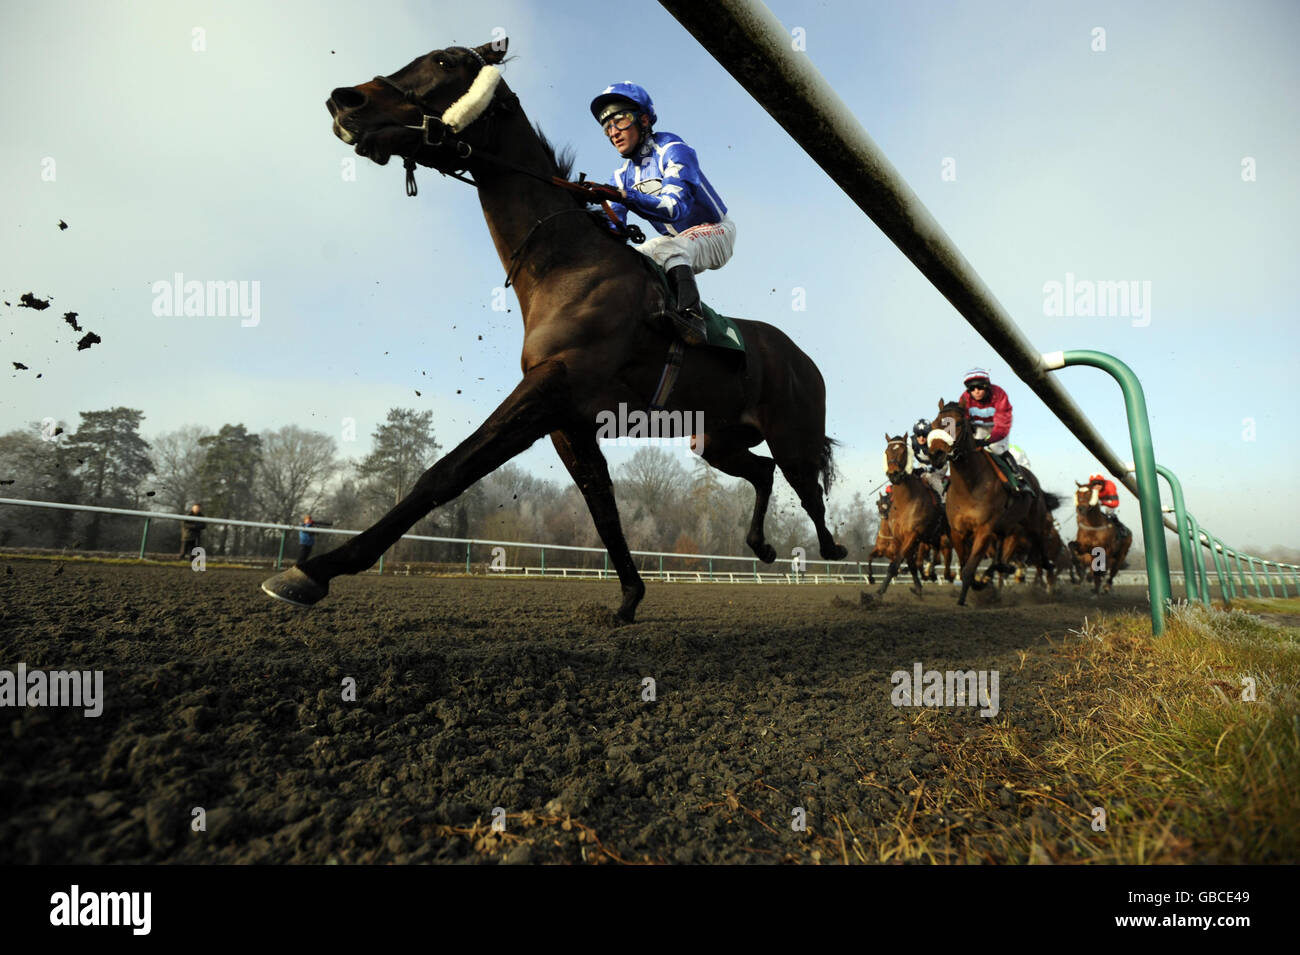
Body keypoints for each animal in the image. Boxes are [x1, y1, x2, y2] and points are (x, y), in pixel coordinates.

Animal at [260, 39, 847, 622]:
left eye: (445, 61)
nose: (345, 100)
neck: (566, 265)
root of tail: (803, 357)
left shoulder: (551, 385)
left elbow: (449, 470)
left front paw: (314, 570)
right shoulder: (569, 419)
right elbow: (602, 505)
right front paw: (629, 598)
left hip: (791, 432)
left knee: (807, 489)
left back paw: (837, 551)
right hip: (716, 439)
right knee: (763, 471)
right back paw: (762, 546)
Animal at [875, 435, 947, 596]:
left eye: (903, 451)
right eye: (887, 451)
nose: (894, 474)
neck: (906, 501)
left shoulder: (912, 534)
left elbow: (895, 564)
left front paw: (880, 591)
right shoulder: (900, 537)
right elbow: (910, 563)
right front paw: (918, 588)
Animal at [925, 400, 1061, 605]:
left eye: (958, 423)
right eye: (934, 424)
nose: (936, 454)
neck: (969, 485)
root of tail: (1032, 479)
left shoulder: (984, 529)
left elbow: (969, 569)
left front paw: (963, 599)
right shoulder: (958, 532)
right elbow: (965, 565)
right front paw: (979, 584)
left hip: (1033, 522)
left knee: (1041, 548)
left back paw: (1048, 575)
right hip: (1004, 528)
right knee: (1000, 558)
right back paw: (1001, 571)